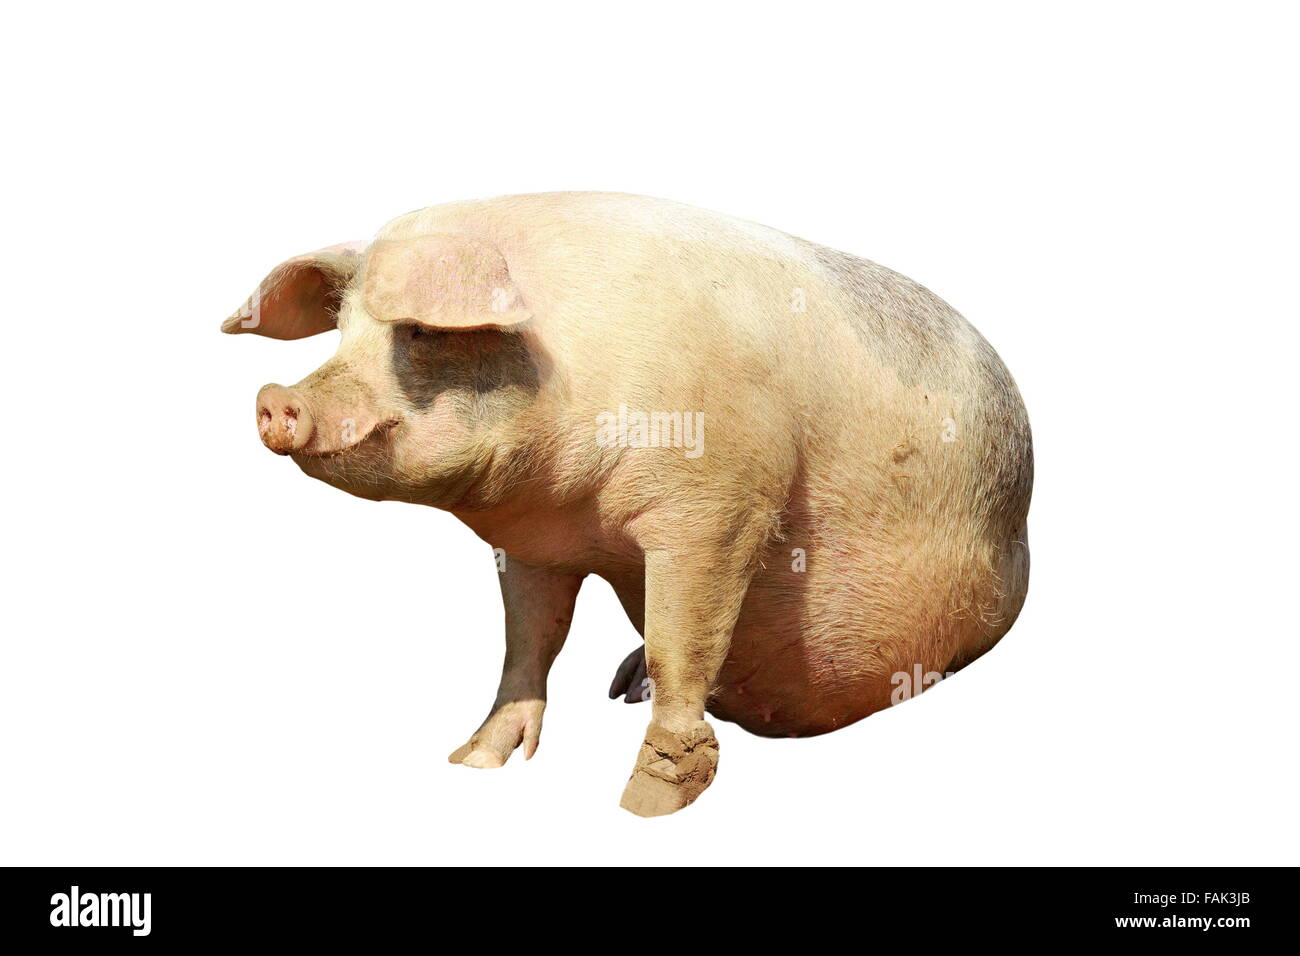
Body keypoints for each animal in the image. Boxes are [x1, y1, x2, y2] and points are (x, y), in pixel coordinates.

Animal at [223, 192, 1033, 816]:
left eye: (420, 331)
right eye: (342, 331)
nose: (274, 398)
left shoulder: (719, 509)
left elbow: (684, 648)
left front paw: (646, 805)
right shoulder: (535, 544)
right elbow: (530, 643)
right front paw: (470, 763)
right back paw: (619, 685)